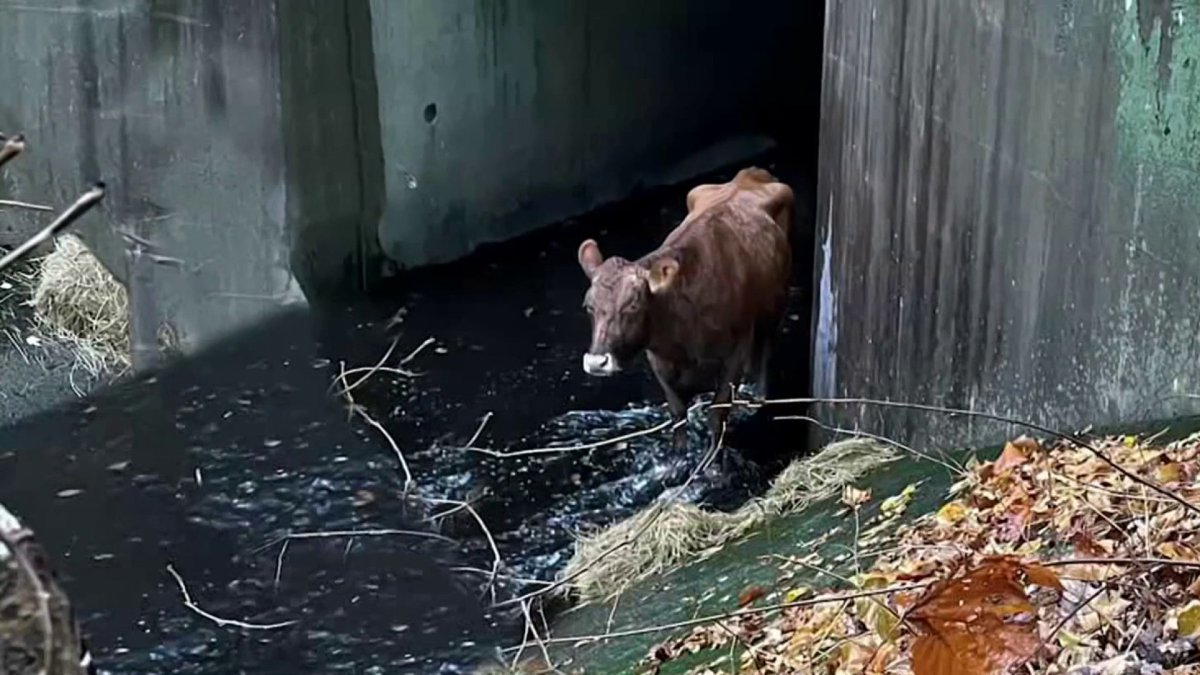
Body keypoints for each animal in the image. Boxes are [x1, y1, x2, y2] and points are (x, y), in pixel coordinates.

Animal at [576, 167, 794, 470]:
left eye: (633, 304)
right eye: (588, 306)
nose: (596, 362)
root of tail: (751, 174)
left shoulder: (735, 353)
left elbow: (717, 414)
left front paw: (710, 464)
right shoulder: (659, 361)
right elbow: (678, 416)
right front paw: (678, 460)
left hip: (775, 305)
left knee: (765, 351)